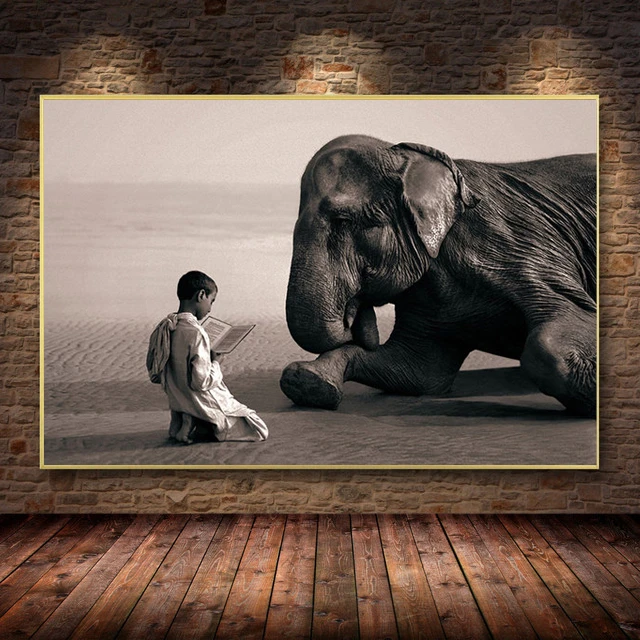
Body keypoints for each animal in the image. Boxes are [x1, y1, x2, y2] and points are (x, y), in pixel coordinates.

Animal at [279, 134, 597, 417]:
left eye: (343, 221)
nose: (355, 314)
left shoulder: (517, 245)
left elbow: (562, 333)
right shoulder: (430, 302)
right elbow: (418, 374)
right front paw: (307, 380)